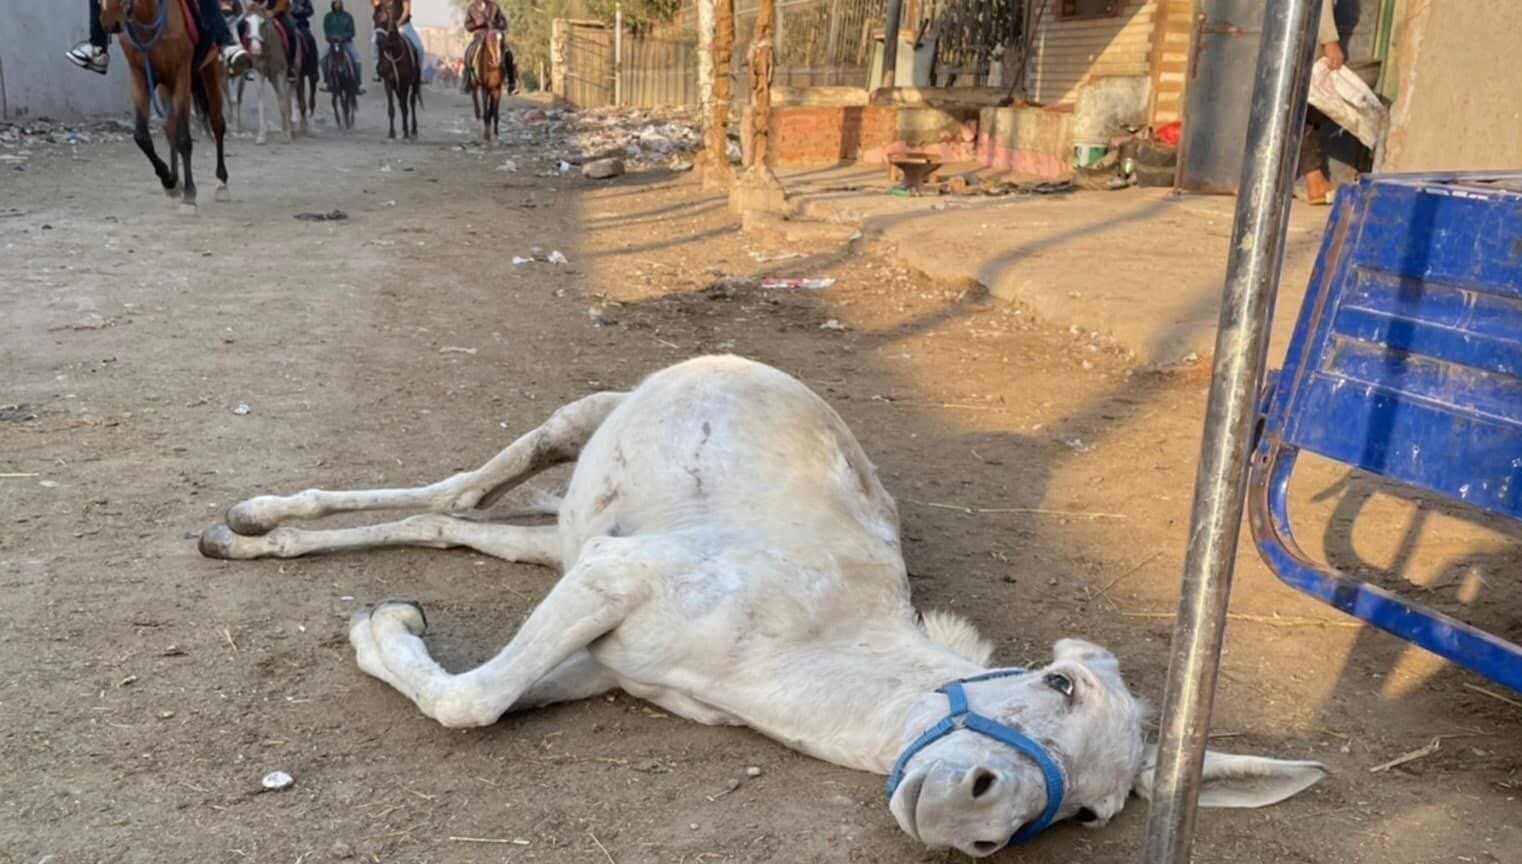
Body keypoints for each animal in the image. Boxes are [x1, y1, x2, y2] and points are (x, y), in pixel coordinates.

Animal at [101, 0, 231, 211]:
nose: (109, 20)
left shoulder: (181, 76)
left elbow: (184, 139)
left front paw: (189, 195)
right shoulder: (139, 77)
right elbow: (142, 137)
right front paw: (169, 182)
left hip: (211, 72)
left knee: (217, 124)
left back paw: (221, 184)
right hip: (165, 88)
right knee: (170, 129)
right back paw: (175, 181)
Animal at [200, 355, 1325, 857]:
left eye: (1091, 813)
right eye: (1055, 681)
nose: (968, 816)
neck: (784, 657)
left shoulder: (596, 655)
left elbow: (487, 691)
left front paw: (385, 622)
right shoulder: (619, 580)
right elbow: (470, 702)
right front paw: (380, 622)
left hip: (561, 535)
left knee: (461, 524)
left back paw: (258, 537)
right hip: (575, 425)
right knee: (463, 488)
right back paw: (251, 518)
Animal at [239, 2, 294, 144]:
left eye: (262, 22)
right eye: (247, 22)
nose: (255, 49)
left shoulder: (280, 72)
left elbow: (282, 101)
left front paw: (286, 135)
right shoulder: (259, 73)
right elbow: (261, 102)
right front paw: (261, 136)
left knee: (288, 98)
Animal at [373, 0, 420, 140]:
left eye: (385, 20)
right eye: (373, 18)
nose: (379, 41)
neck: (393, 52)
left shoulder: (404, 83)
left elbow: (405, 107)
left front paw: (406, 132)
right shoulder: (388, 82)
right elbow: (392, 109)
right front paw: (392, 133)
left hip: (414, 83)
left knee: (411, 102)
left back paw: (413, 130)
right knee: (401, 103)